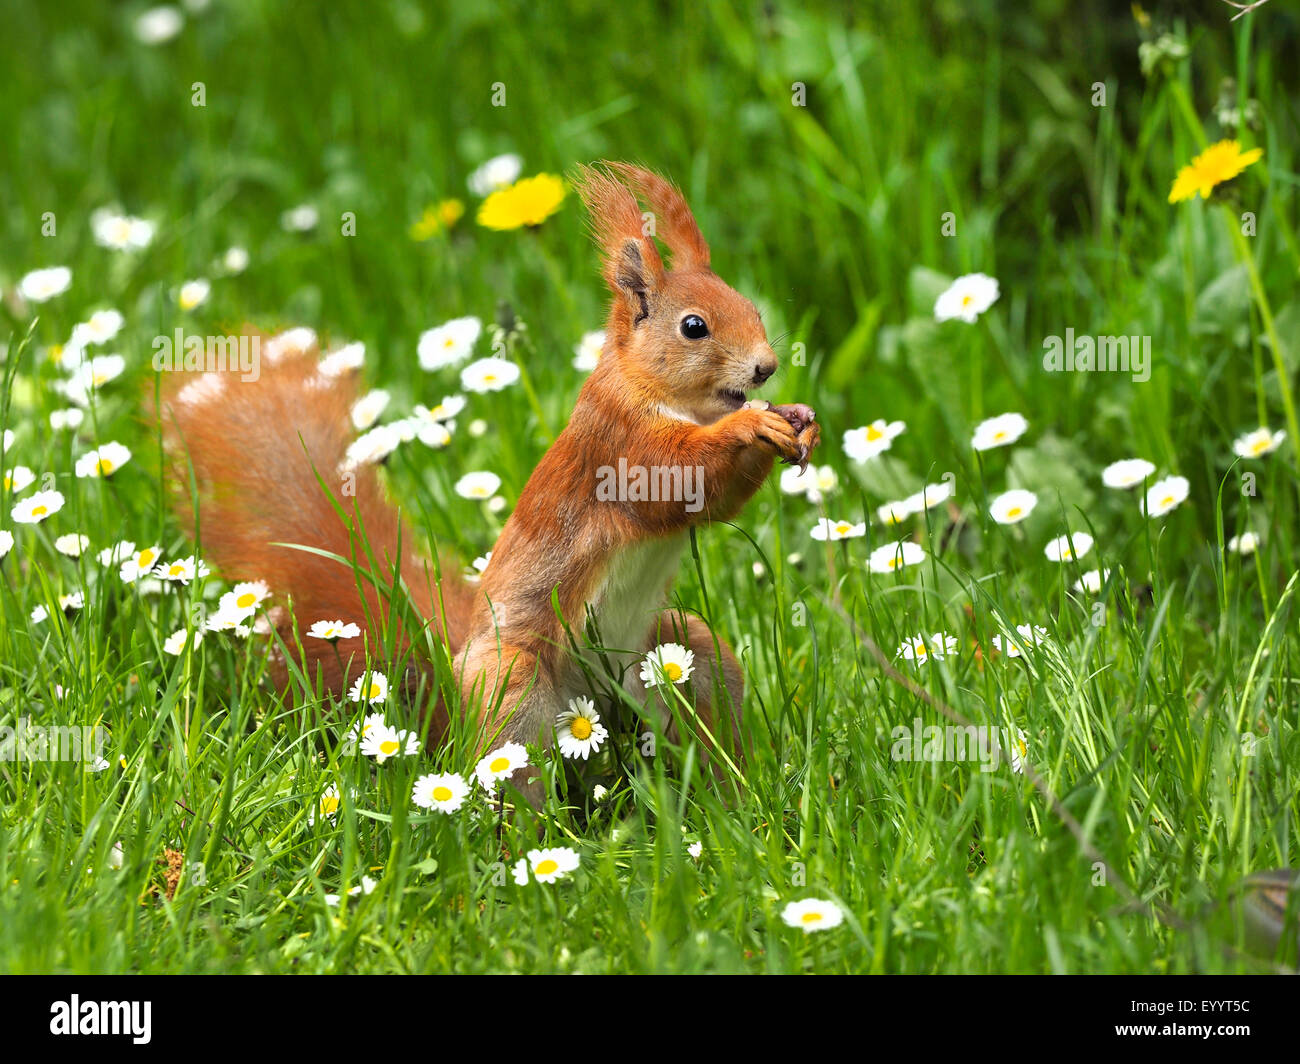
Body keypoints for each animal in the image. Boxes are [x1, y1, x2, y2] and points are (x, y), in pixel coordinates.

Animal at [161, 161, 820, 796]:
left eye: (752, 307)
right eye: (693, 327)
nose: (767, 367)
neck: (669, 398)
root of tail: (595, 707)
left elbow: (717, 503)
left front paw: (798, 420)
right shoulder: (617, 442)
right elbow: (677, 482)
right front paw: (749, 427)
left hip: (684, 655)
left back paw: (733, 796)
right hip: (516, 689)